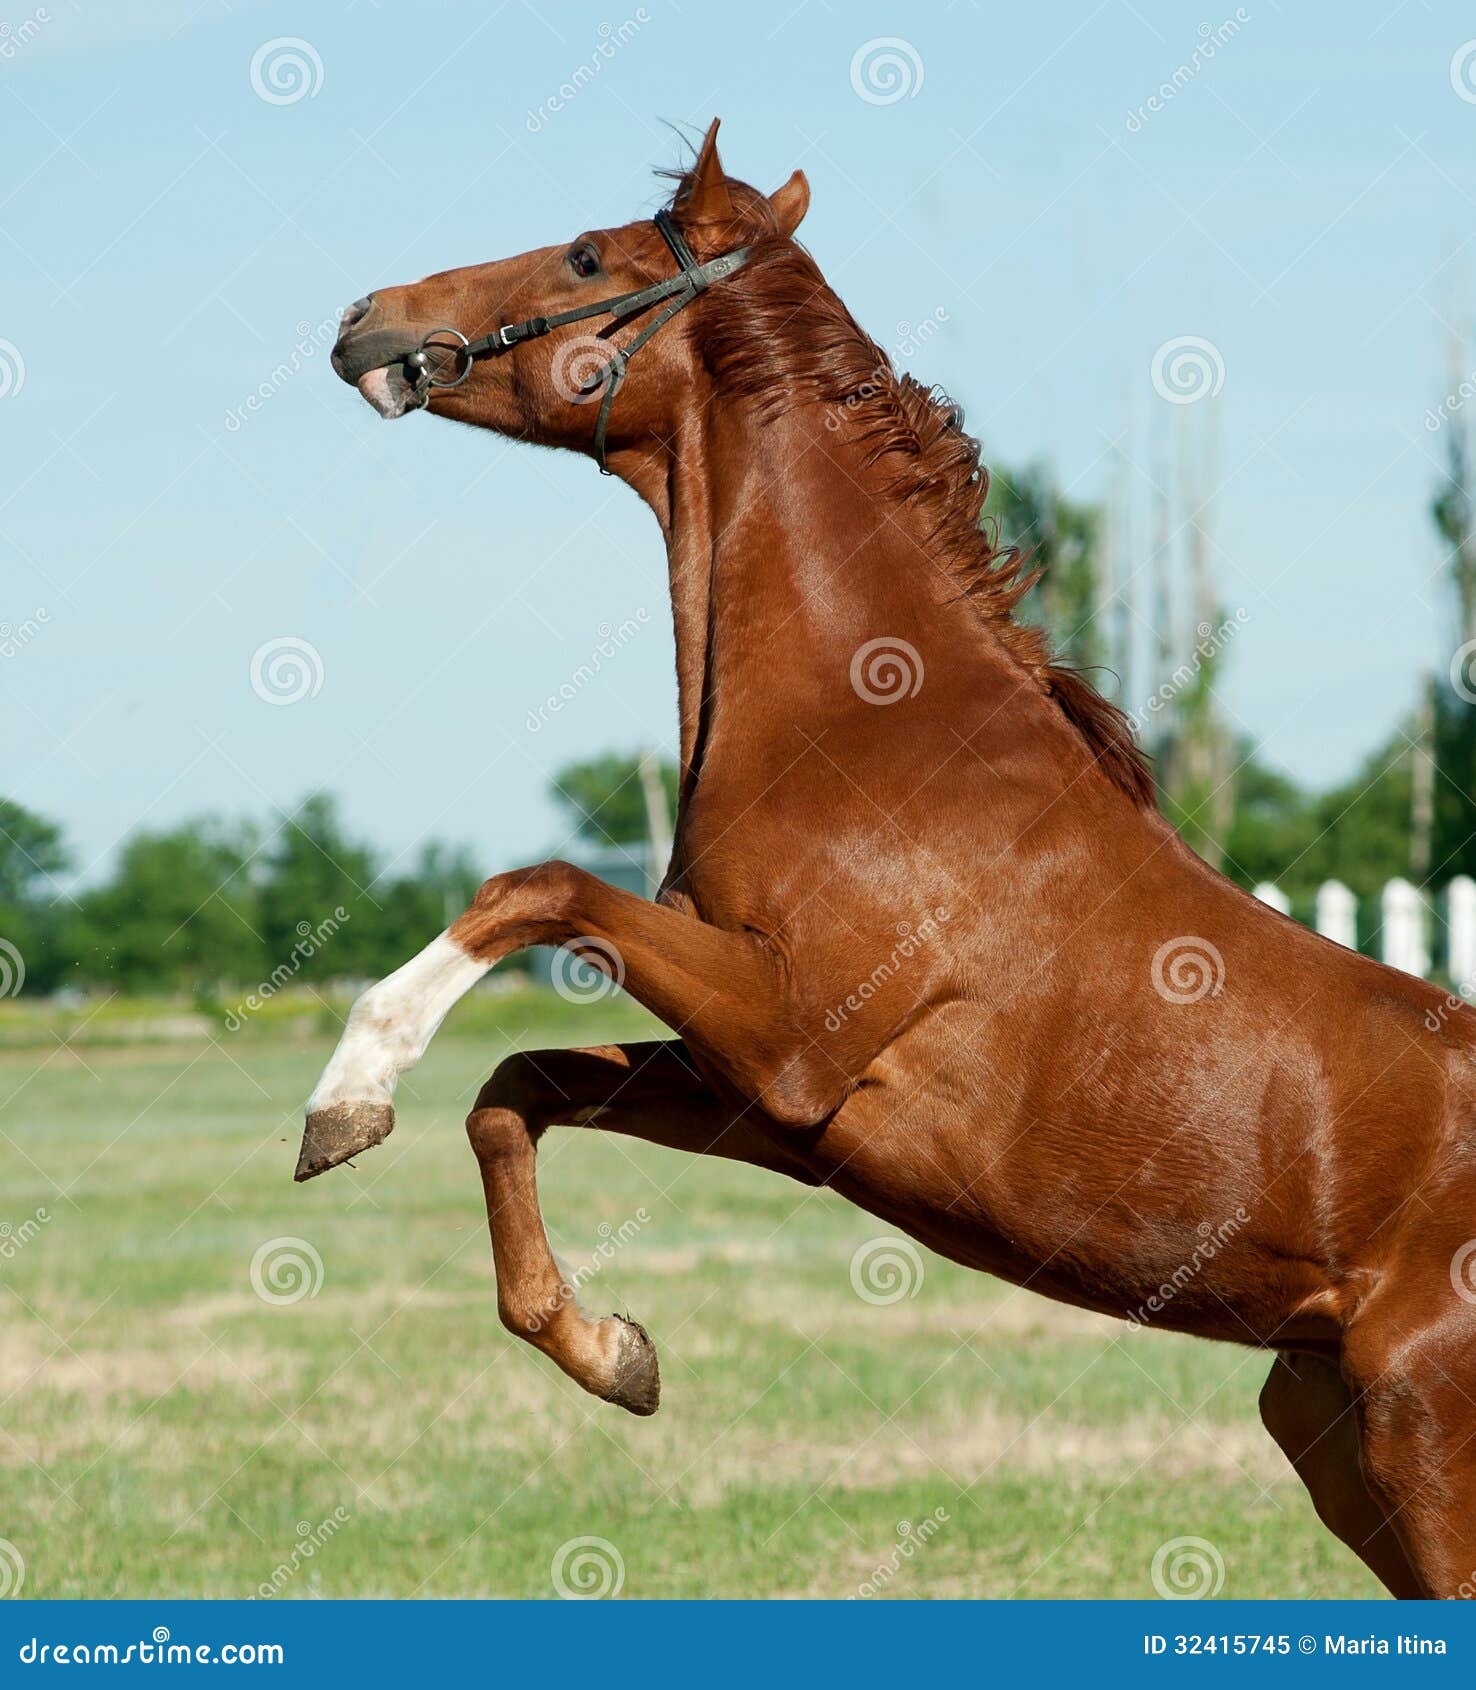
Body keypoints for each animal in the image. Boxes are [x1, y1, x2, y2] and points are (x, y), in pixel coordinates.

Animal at [311, 119, 1476, 1599]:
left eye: (584, 255)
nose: (365, 316)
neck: (874, 719)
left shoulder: (789, 1036)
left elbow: (538, 889)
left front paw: (345, 1094)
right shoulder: (764, 1099)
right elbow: (515, 1088)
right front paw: (616, 1355)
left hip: (1426, 1445)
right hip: (1330, 1430)